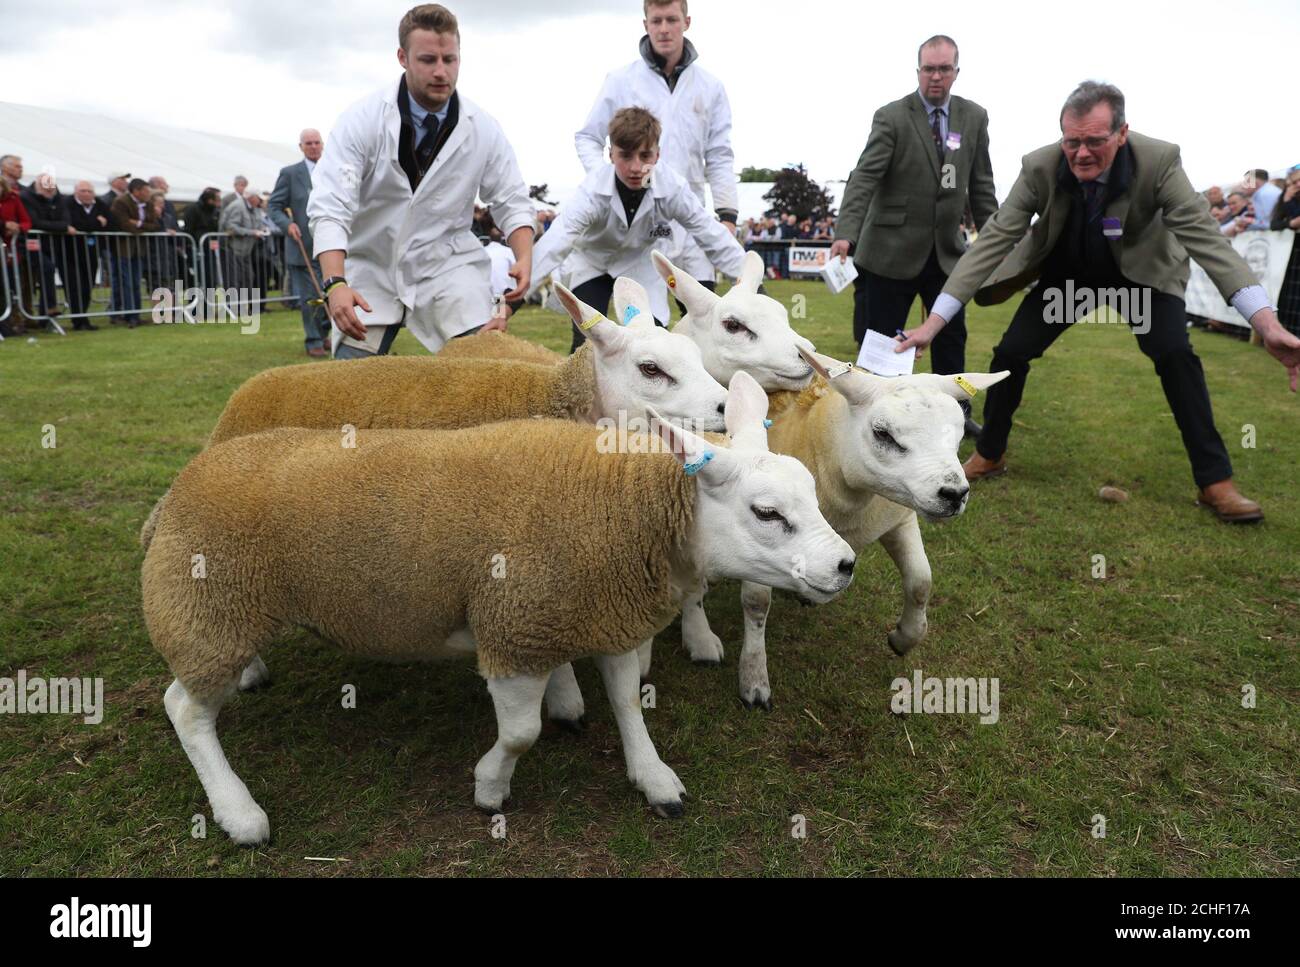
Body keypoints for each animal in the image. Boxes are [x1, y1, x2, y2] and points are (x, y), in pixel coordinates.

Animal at [142, 372, 857, 844]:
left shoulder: (608, 613)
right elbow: (520, 733)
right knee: (186, 710)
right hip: (206, 608)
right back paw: (239, 813)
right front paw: (490, 787)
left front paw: (654, 778)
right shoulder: (516, 628)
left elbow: (628, 704)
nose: (844, 566)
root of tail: (184, 482)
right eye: (766, 513)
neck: (623, 507)